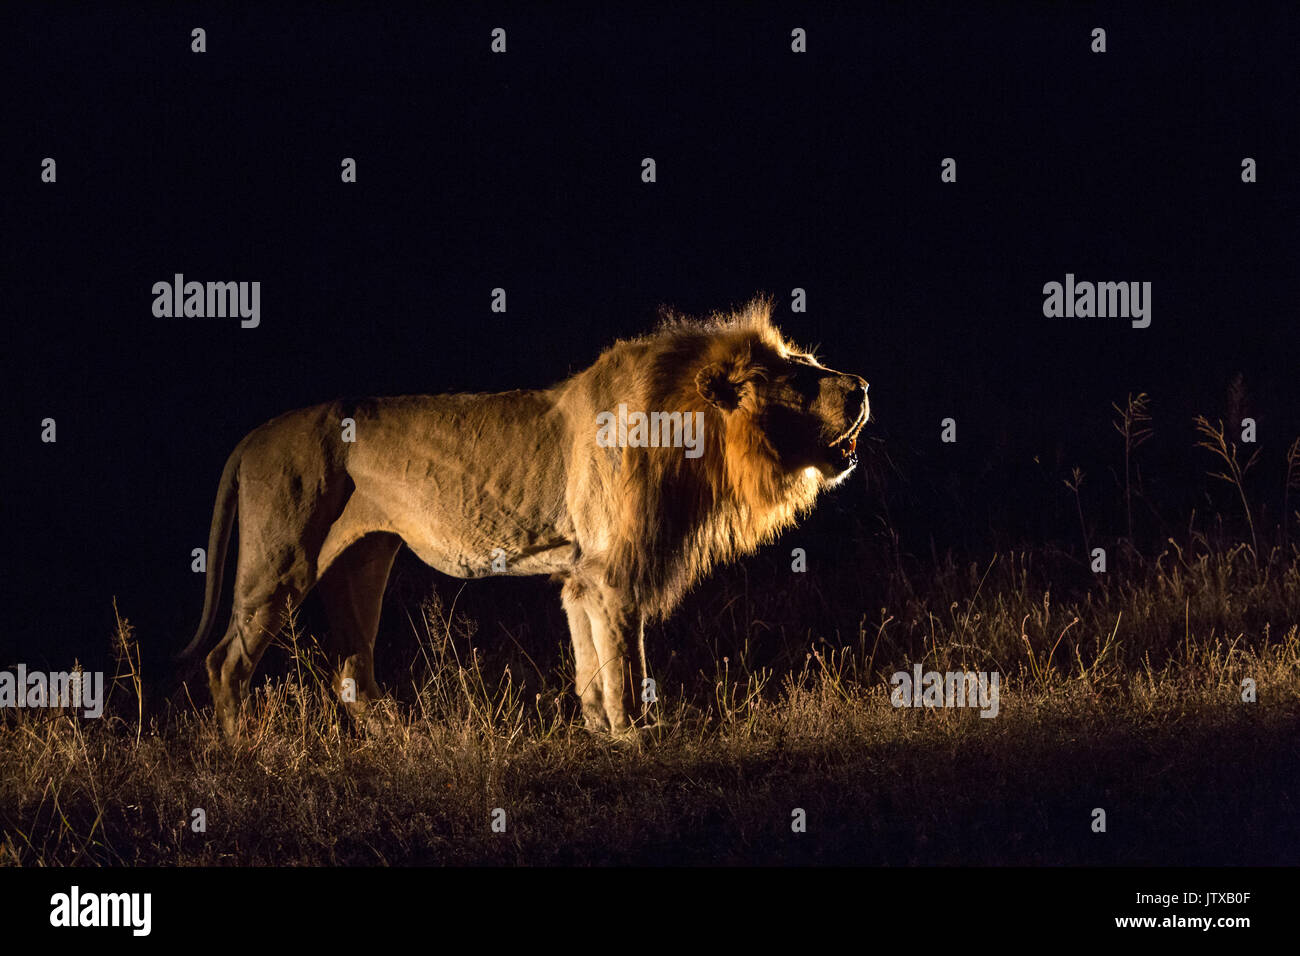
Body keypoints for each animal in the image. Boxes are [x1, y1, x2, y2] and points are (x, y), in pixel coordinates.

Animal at [176, 297, 869, 737]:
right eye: (801, 378)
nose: (863, 385)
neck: (694, 432)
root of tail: (254, 436)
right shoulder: (614, 576)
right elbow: (627, 668)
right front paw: (643, 737)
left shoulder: (583, 578)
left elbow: (592, 666)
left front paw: (602, 735)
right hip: (280, 561)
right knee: (226, 662)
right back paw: (251, 752)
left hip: (360, 563)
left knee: (352, 670)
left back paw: (403, 741)